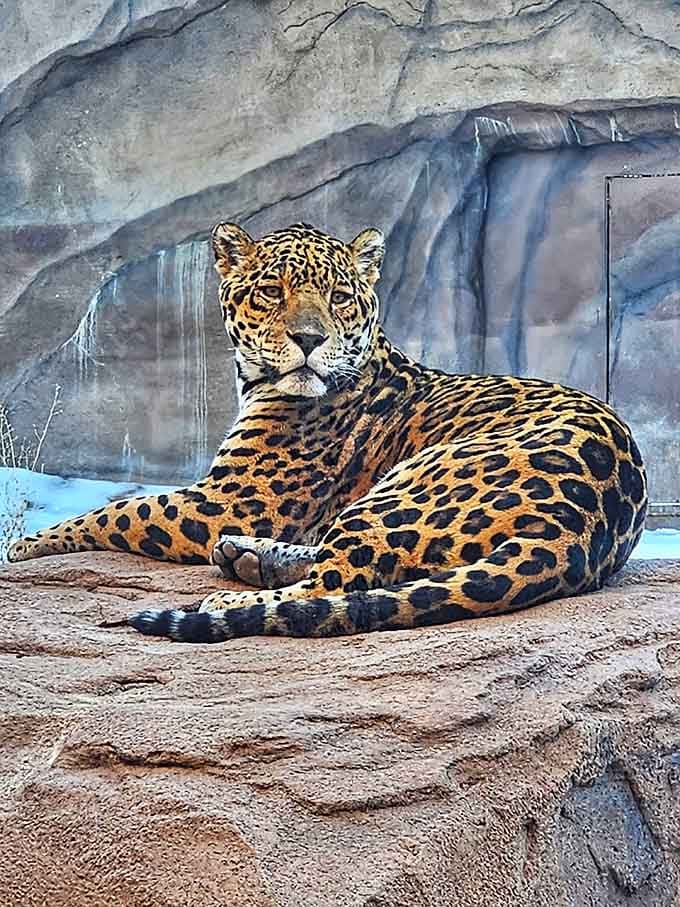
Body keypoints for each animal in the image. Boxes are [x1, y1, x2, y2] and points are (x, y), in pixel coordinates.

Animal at [8, 221, 648, 643]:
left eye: (338, 297)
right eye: (272, 292)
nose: (310, 339)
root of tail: (577, 533)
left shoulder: (226, 501)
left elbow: (122, 510)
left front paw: (28, 545)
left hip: (410, 481)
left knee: (336, 584)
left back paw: (230, 590)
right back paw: (247, 557)